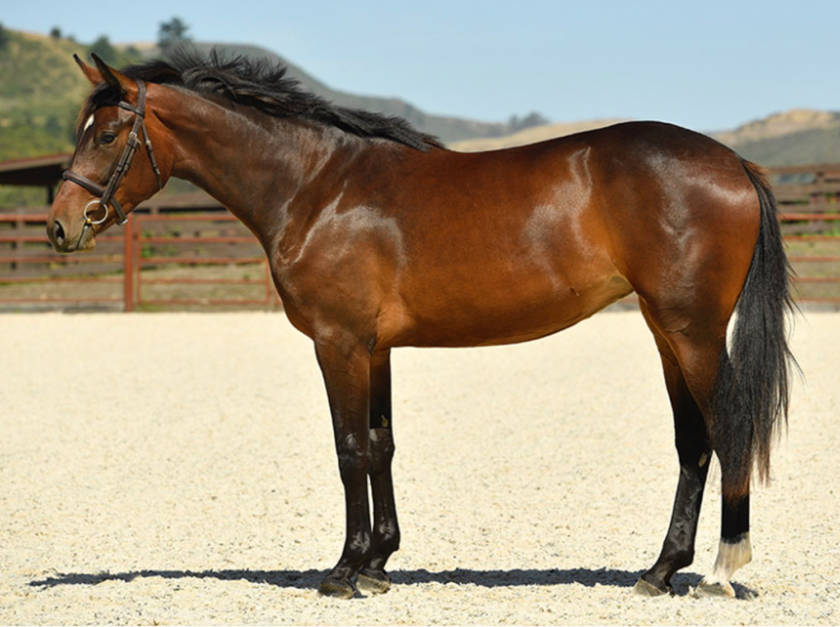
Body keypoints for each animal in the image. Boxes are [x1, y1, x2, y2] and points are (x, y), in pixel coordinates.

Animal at [47, 51, 794, 600]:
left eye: (108, 135)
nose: (60, 226)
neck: (317, 185)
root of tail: (733, 162)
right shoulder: (374, 349)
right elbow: (381, 446)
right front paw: (380, 563)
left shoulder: (339, 344)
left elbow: (349, 448)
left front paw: (344, 570)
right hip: (667, 332)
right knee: (693, 442)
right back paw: (660, 571)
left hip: (693, 332)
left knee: (728, 428)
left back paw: (723, 571)